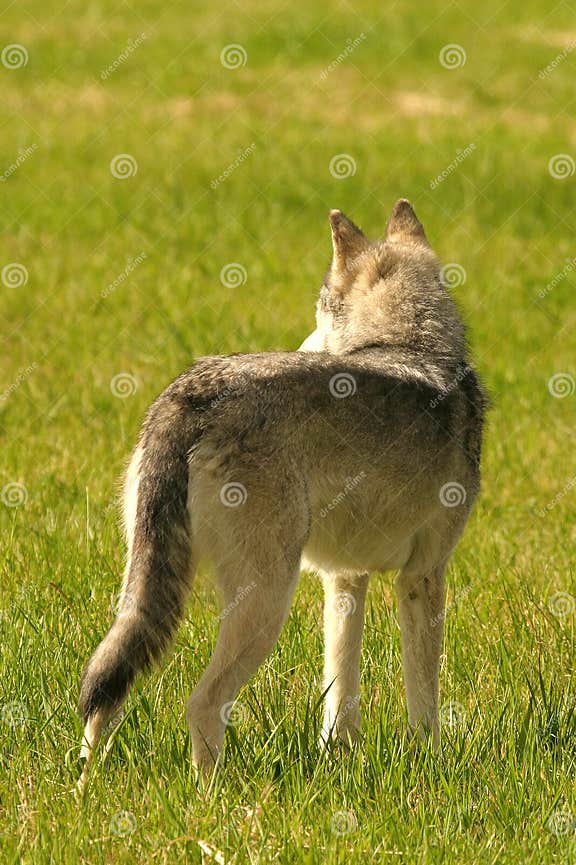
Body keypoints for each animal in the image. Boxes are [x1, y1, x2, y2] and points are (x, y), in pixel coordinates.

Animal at [79, 200, 487, 780]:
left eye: (317, 316)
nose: (301, 348)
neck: (412, 346)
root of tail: (192, 390)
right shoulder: (423, 576)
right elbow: (423, 698)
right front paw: (428, 763)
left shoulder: (345, 581)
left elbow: (341, 698)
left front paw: (340, 760)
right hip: (268, 600)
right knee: (201, 704)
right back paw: (214, 795)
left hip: (148, 596)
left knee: (104, 694)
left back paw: (86, 785)